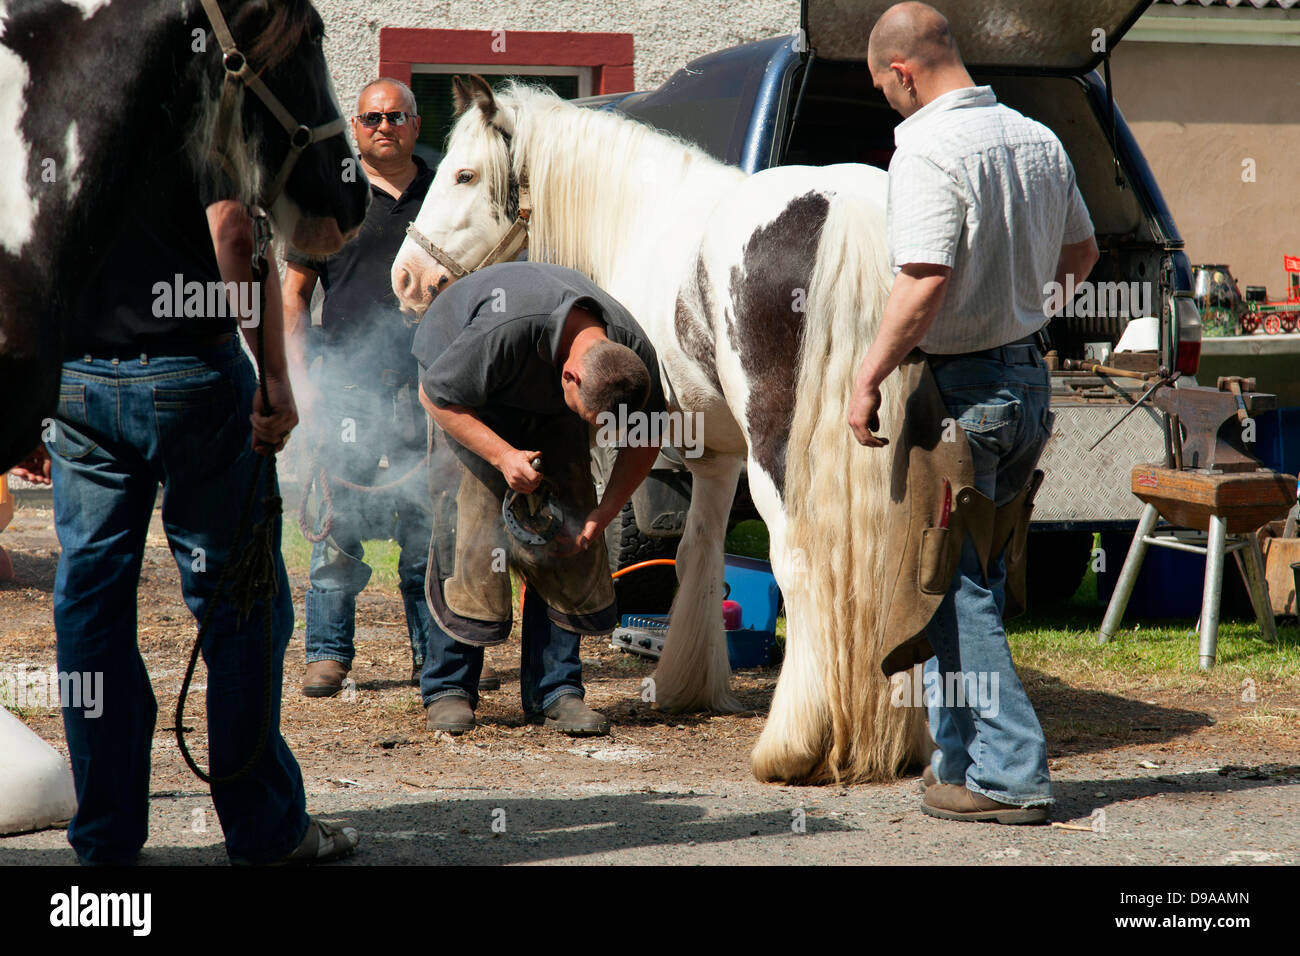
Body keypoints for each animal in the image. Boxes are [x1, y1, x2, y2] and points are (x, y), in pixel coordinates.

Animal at [391, 76, 931, 785]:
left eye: (464, 174)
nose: (406, 278)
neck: (640, 219)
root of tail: (845, 209)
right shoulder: (717, 457)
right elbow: (700, 554)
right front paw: (691, 685)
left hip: (782, 462)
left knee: (801, 563)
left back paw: (793, 745)